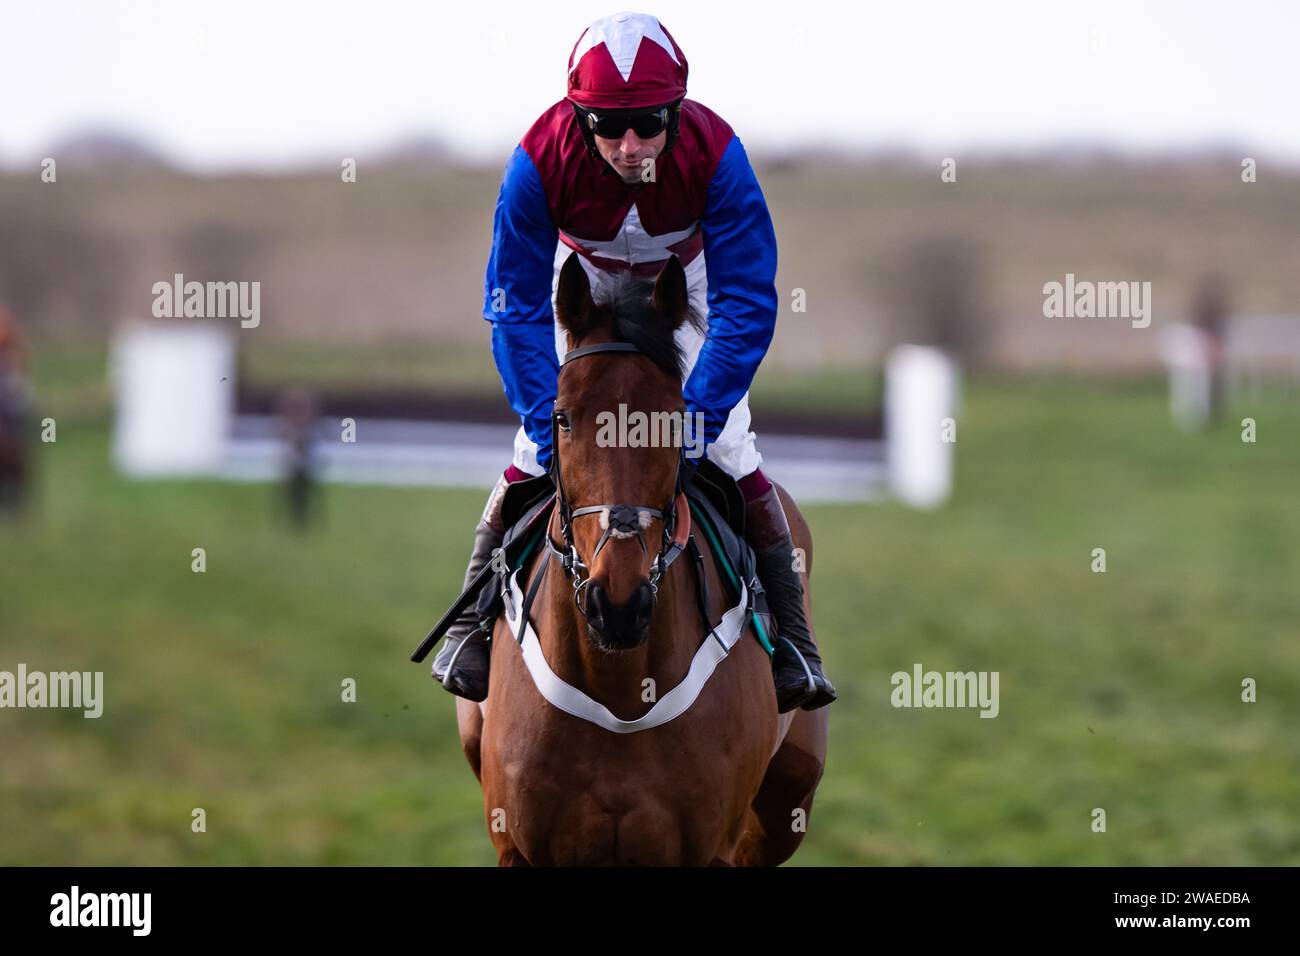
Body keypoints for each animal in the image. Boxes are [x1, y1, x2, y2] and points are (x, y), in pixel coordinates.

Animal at [455, 253, 828, 866]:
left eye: (673, 420)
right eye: (562, 417)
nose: (619, 602)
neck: (621, 686)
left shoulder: (711, 847)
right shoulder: (519, 846)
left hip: (785, 806)